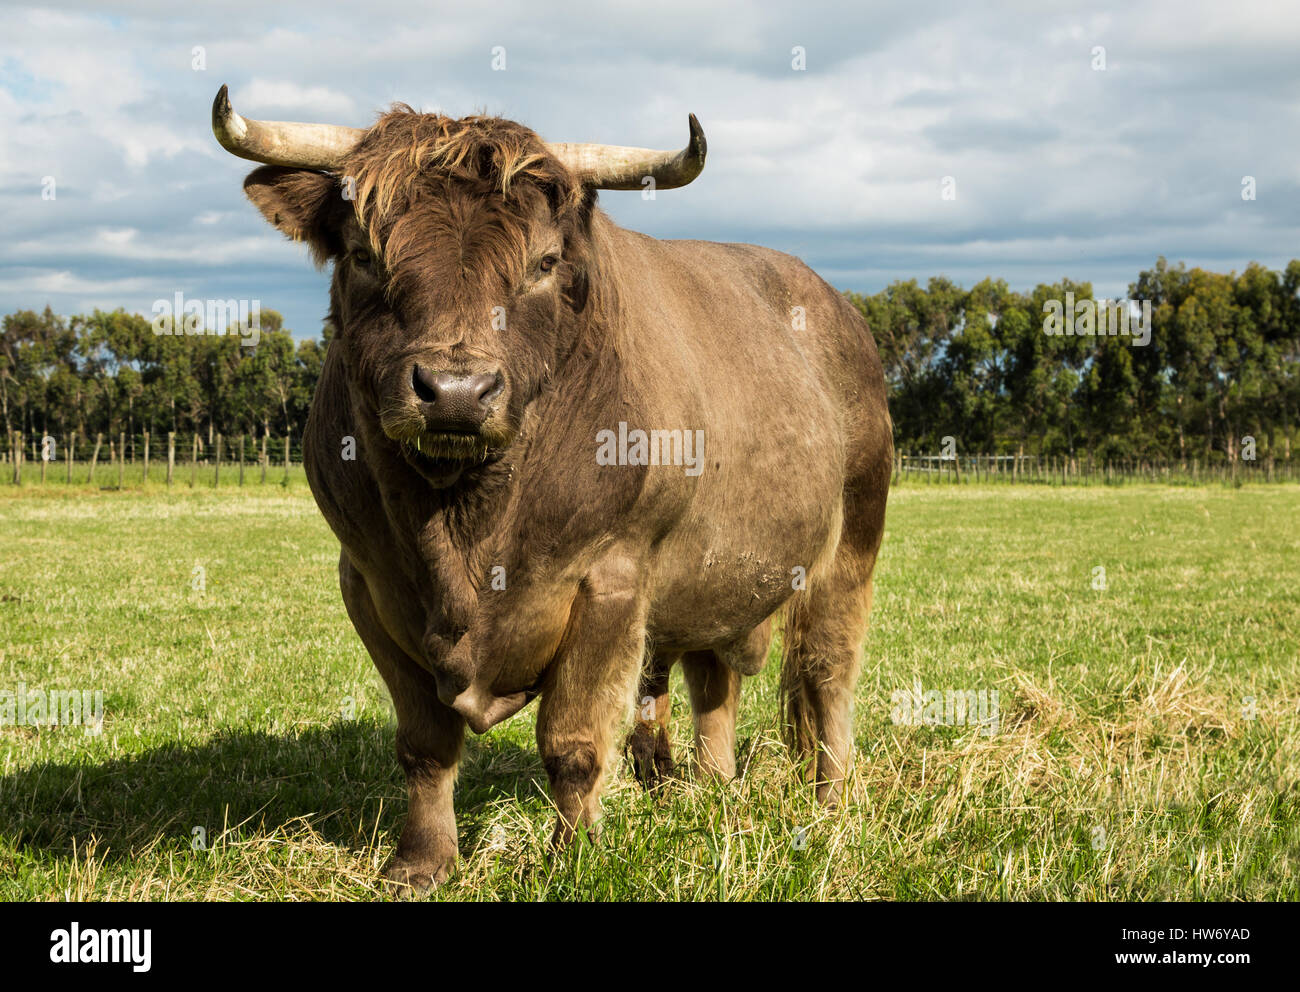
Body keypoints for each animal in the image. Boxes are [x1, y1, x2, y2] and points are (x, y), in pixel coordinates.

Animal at [211, 83, 892, 894]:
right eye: (365, 253)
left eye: (541, 262)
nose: (456, 392)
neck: (464, 519)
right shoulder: (369, 582)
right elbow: (424, 743)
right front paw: (421, 863)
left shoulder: (609, 578)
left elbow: (573, 741)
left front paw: (573, 858)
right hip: (716, 574)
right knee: (712, 681)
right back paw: (711, 793)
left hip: (850, 548)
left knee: (827, 672)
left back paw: (830, 805)